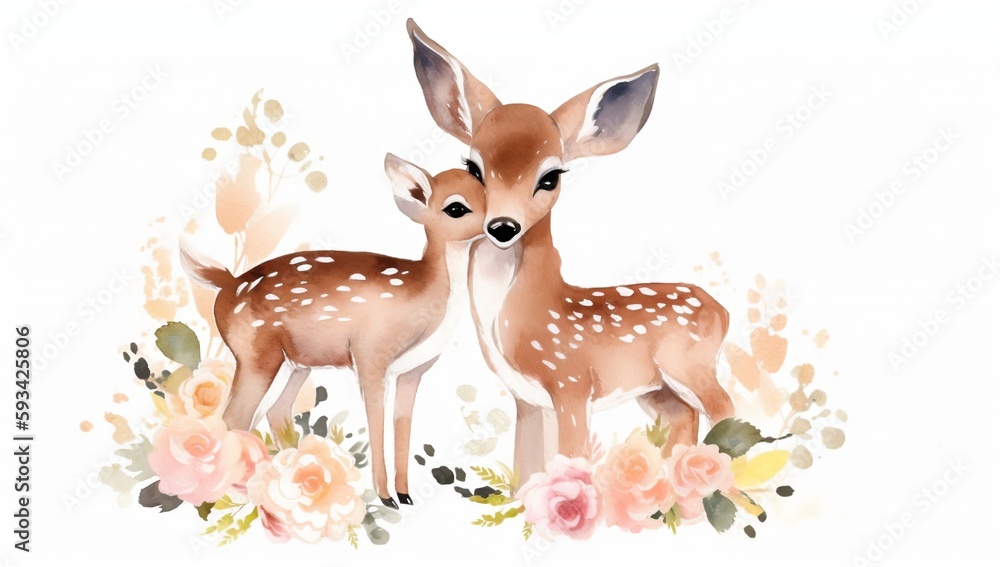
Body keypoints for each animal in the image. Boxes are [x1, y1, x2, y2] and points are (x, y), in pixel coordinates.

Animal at [179, 153, 485, 509]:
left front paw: (405, 495)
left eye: (488, 193)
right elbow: (377, 423)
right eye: (456, 208)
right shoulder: (370, 354)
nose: (503, 227)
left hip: (294, 364)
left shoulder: (413, 371)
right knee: (234, 418)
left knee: (274, 412)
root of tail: (226, 283)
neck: (424, 297)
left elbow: (403, 426)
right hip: (256, 353)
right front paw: (386, 498)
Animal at [406, 20, 734, 480]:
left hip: (689, 365)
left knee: (726, 407)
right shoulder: (527, 399)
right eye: (474, 169)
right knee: (685, 419)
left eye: (551, 177)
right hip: (656, 389)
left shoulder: (572, 383)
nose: (503, 227)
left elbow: (573, 458)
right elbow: (527, 470)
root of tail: (723, 312)